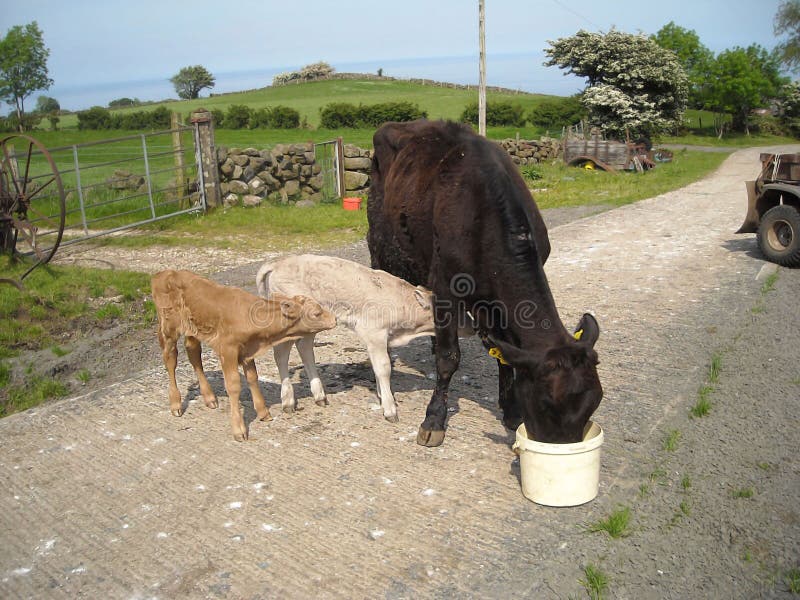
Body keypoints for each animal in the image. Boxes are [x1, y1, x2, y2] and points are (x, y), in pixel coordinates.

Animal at [151, 269, 336, 441]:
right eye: (316, 313)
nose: (334, 318)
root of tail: (164, 273)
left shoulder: (248, 349)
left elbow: (253, 377)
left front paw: (263, 412)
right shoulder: (228, 350)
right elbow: (233, 386)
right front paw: (239, 429)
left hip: (193, 330)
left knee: (193, 353)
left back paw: (209, 398)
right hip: (169, 328)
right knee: (170, 359)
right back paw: (176, 404)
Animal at [256, 254, 464, 421]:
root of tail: (278, 262)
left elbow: (377, 366)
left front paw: (382, 396)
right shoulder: (374, 332)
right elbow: (383, 367)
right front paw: (390, 408)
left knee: (305, 348)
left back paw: (319, 396)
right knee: (281, 354)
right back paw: (288, 401)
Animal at [367, 120, 603, 446]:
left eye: (595, 402)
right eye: (546, 404)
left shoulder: (495, 301)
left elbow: (503, 355)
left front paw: (511, 410)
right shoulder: (444, 286)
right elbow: (449, 358)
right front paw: (434, 420)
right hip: (380, 246)